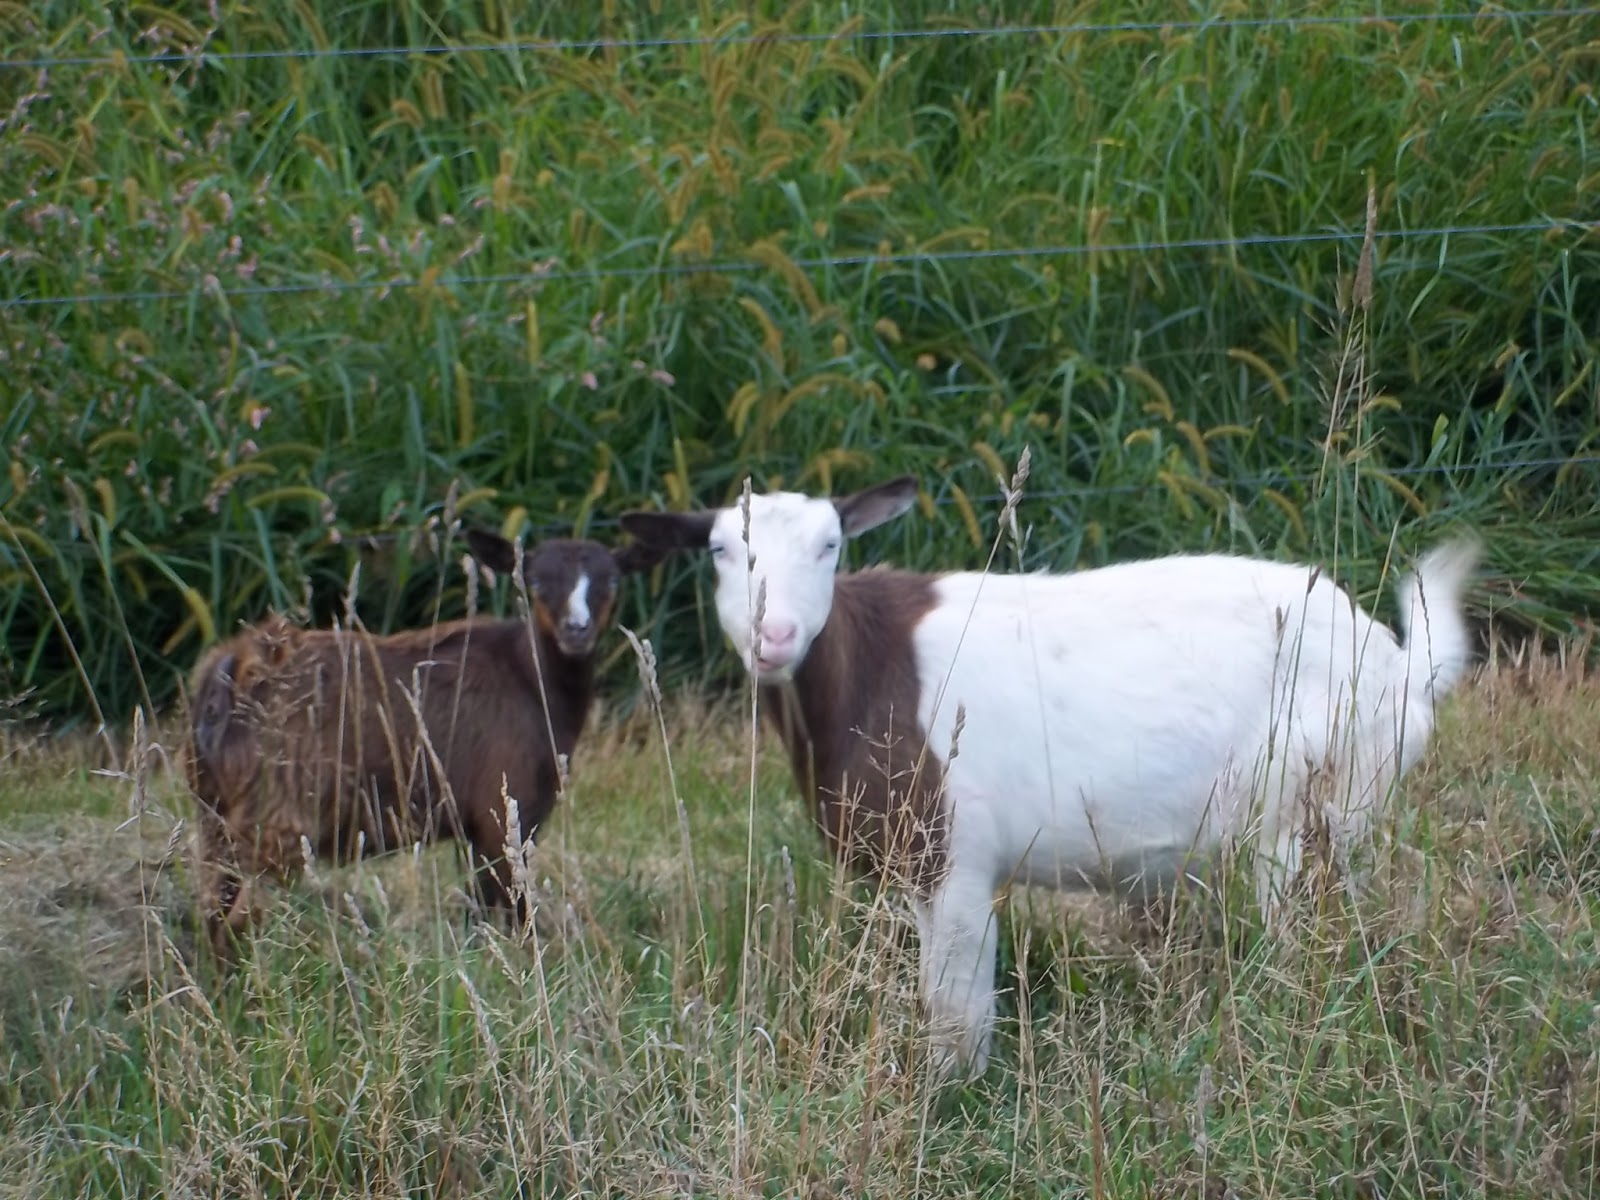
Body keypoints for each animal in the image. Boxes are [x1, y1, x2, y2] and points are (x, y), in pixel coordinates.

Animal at [184, 529, 660, 958]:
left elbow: (481, 912)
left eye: (612, 581)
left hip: (215, 811)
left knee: (213, 909)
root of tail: (229, 673)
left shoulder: (478, 825)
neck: (533, 678)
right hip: (278, 812)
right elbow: (512, 912)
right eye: (537, 581)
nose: (577, 631)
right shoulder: (505, 809)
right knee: (239, 918)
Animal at [619, 476, 1480, 1078]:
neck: (866, 672)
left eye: (831, 545)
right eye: (721, 550)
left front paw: (953, 1103)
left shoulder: (954, 857)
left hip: (1308, 809)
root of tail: (1401, 667)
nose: (775, 634)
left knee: (1313, 941)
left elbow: (957, 1008)